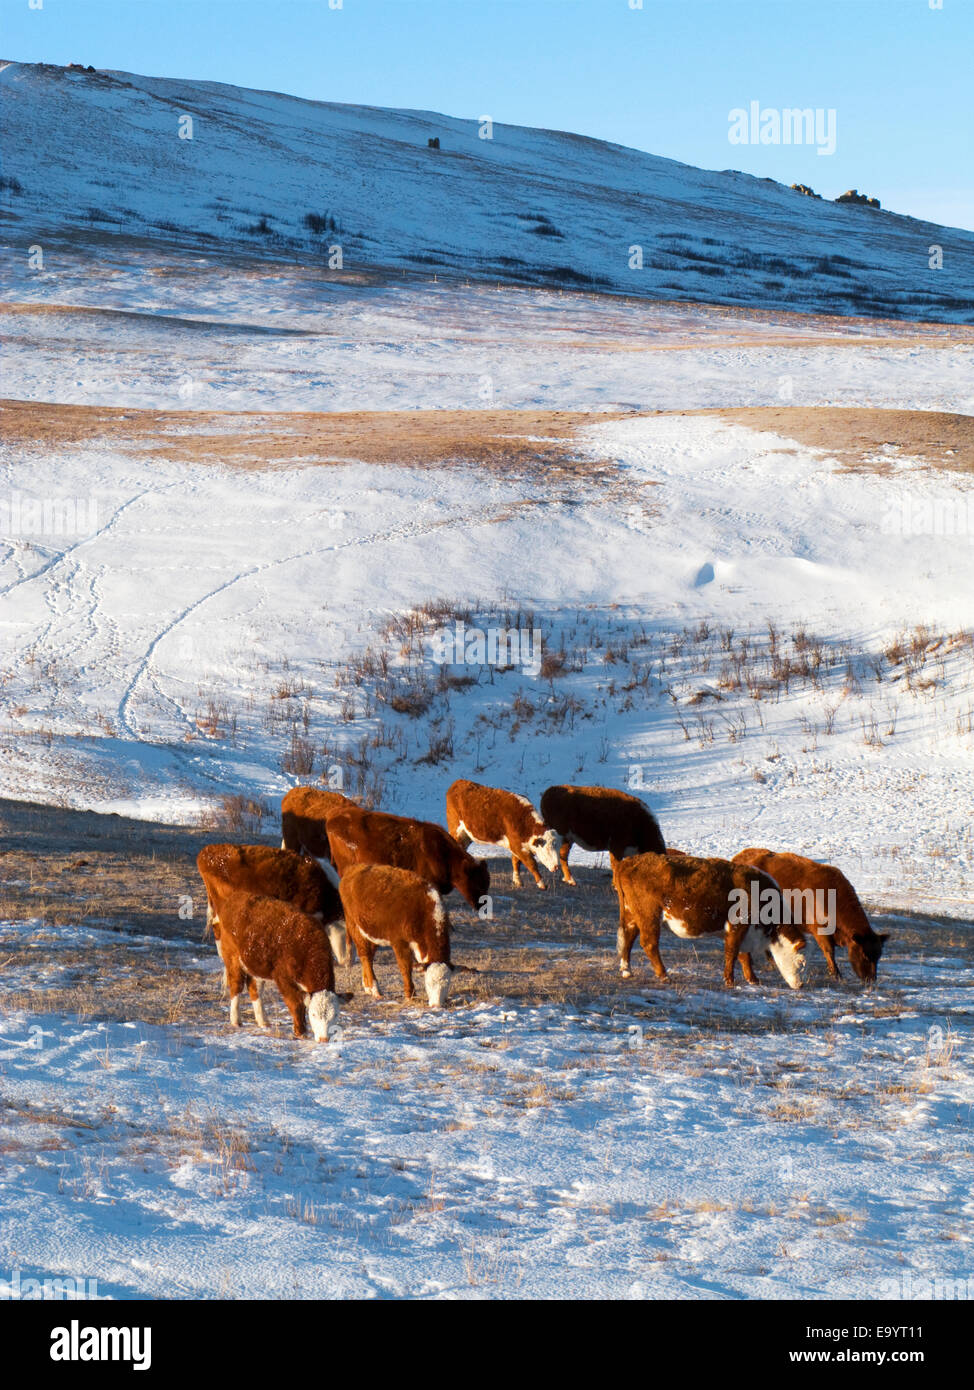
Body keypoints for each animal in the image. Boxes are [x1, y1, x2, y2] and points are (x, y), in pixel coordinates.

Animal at [215, 890, 342, 1041]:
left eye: (335, 1015)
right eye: (313, 1014)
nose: (324, 1039)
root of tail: (236, 898)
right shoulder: (283, 978)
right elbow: (296, 1004)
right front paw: (301, 1032)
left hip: (256, 964)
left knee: (254, 988)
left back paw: (263, 1021)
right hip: (232, 958)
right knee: (236, 985)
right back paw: (235, 1020)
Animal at [339, 864, 452, 1007]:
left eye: (447, 985)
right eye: (429, 983)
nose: (436, 1006)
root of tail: (353, 869)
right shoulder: (399, 942)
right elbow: (405, 967)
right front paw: (410, 995)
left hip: (373, 931)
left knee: (369, 956)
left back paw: (367, 986)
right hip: (354, 925)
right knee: (365, 955)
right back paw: (375, 989)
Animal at [615, 852, 807, 989]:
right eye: (800, 962)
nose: (800, 984)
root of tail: (628, 862)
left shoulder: (743, 931)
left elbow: (744, 956)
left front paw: (753, 979)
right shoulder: (737, 926)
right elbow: (732, 953)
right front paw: (729, 981)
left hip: (632, 915)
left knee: (628, 938)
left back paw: (626, 971)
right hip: (650, 916)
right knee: (649, 943)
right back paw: (664, 975)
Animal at [732, 848, 887, 982]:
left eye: (879, 956)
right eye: (864, 955)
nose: (870, 979)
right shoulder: (821, 931)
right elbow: (829, 951)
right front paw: (836, 974)